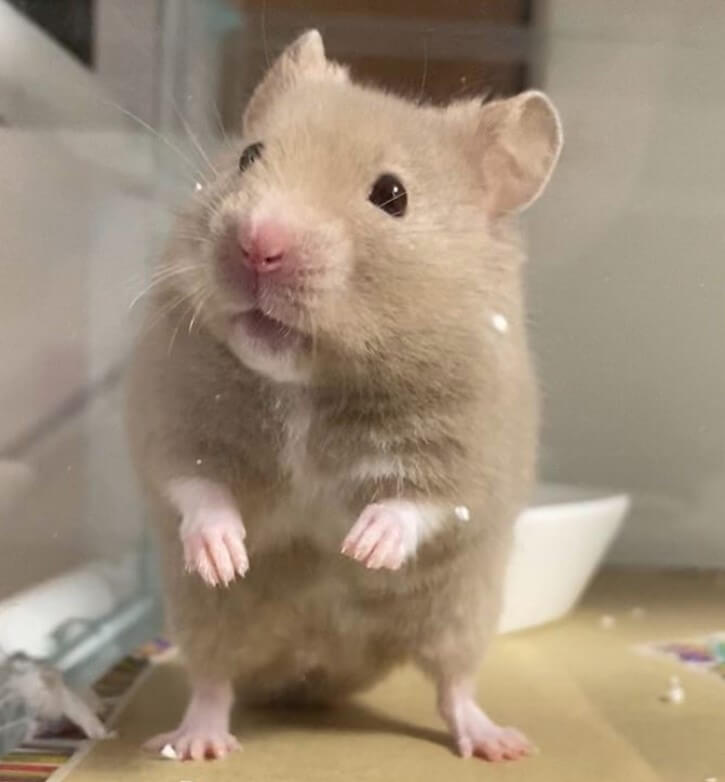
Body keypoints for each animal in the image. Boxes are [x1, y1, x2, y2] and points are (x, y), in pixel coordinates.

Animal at [126, 30, 562, 763]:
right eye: (249, 154)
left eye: (391, 195)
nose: (257, 243)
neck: (307, 381)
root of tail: (314, 669)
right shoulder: (175, 424)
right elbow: (197, 488)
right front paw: (226, 556)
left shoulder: (469, 453)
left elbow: (419, 501)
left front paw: (361, 548)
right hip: (206, 622)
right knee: (213, 680)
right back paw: (198, 742)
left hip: (461, 611)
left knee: (454, 684)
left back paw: (497, 744)